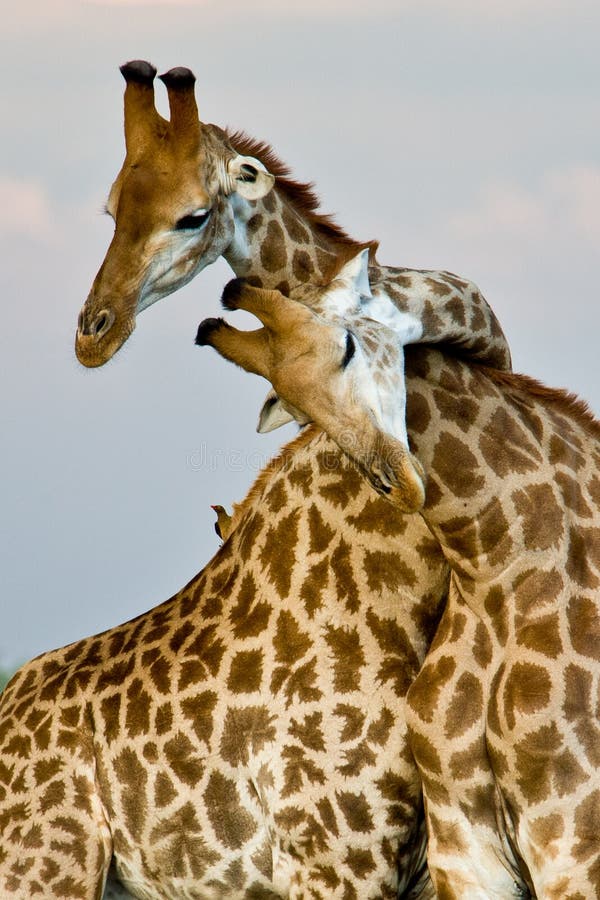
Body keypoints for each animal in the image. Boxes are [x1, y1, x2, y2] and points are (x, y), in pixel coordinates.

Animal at [199, 273, 600, 899]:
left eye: (347, 348)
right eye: (292, 403)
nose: (396, 482)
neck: (501, 573)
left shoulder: (574, 836)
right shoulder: (463, 845)